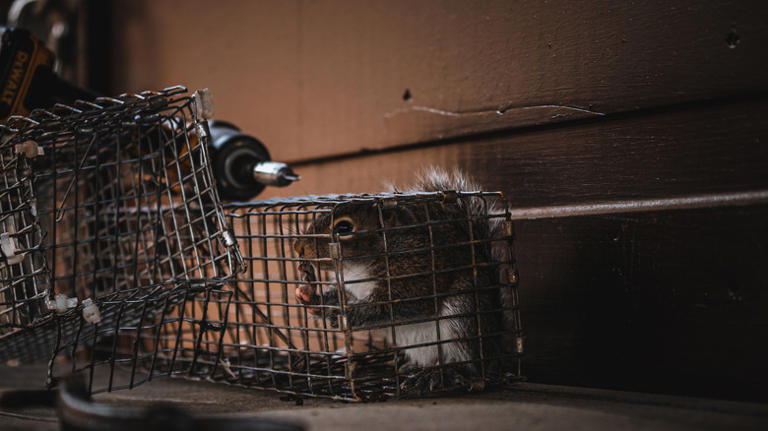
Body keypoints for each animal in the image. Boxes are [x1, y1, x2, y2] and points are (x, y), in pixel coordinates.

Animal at [293, 167, 511, 391]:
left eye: (344, 228)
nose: (298, 247)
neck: (357, 270)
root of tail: (496, 345)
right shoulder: (352, 289)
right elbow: (341, 297)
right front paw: (311, 298)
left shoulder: (415, 271)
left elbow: (394, 307)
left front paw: (345, 315)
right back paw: (416, 369)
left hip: (463, 316)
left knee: (472, 368)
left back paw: (442, 373)